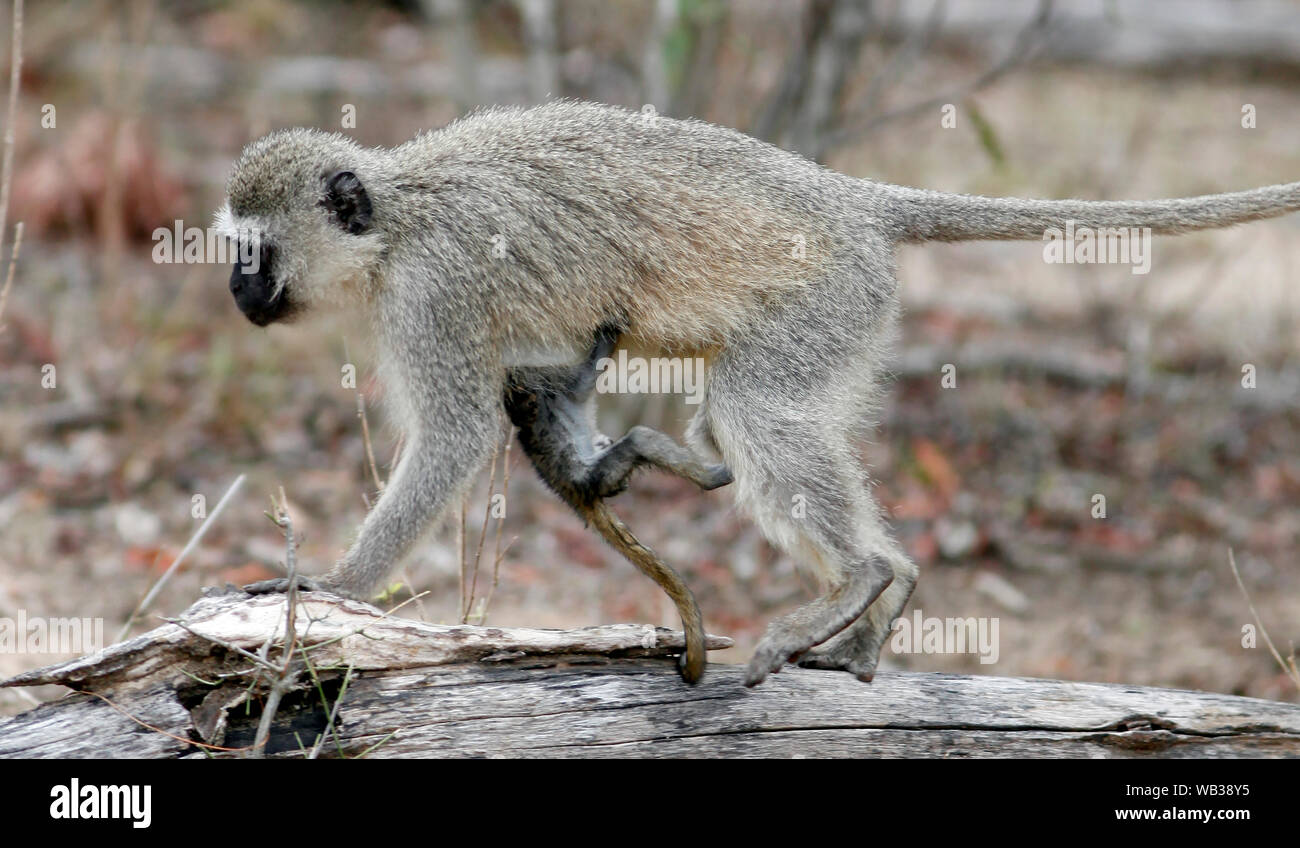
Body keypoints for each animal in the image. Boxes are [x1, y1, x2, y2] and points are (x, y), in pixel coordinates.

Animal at [502, 321, 732, 682]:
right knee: (639, 439)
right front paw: (609, 328)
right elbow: (581, 379)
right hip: (598, 475)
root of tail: (573, 491)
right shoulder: (546, 384)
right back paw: (715, 478)